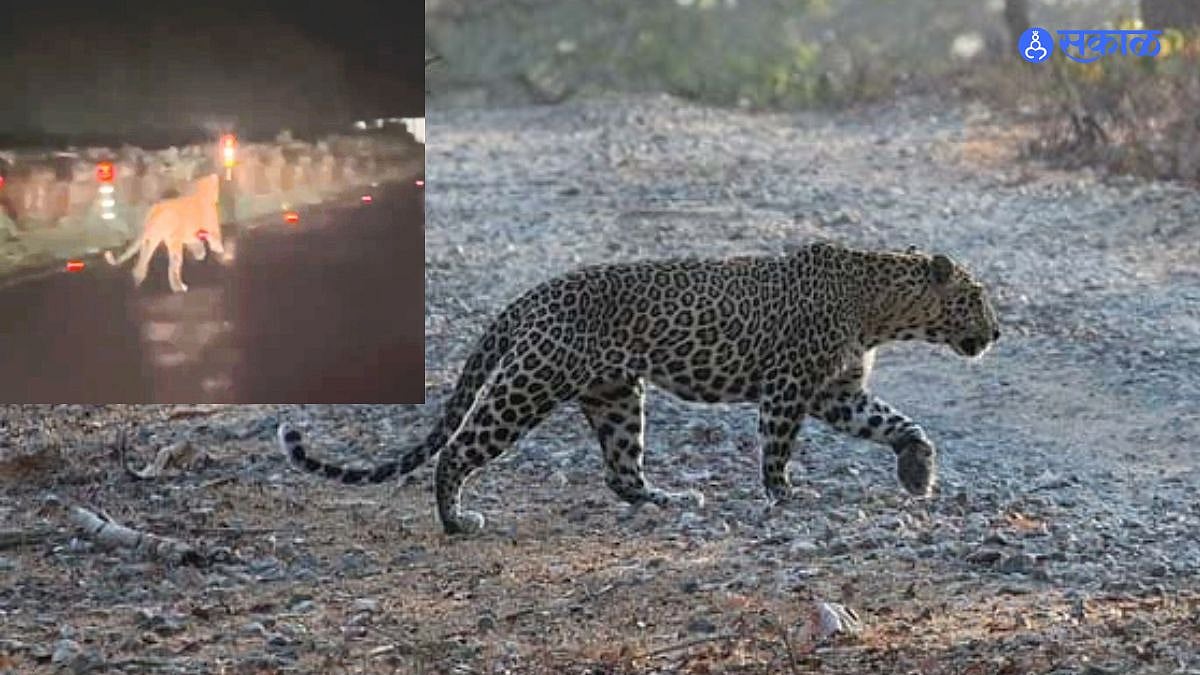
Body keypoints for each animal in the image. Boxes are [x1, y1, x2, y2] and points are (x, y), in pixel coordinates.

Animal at [277, 241, 1001, 535]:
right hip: (528, 384)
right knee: (458, 450)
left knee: (622, 472)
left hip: (617, 396)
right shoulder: (790, 388)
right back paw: (457, 521)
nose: (997, 332)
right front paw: (785, 497)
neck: (881, 308)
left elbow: (897, 422)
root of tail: (531, 296)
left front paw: (917, 471)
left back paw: (670, 498)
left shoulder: (836, 392)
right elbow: (776, 449)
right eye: (974, 298)